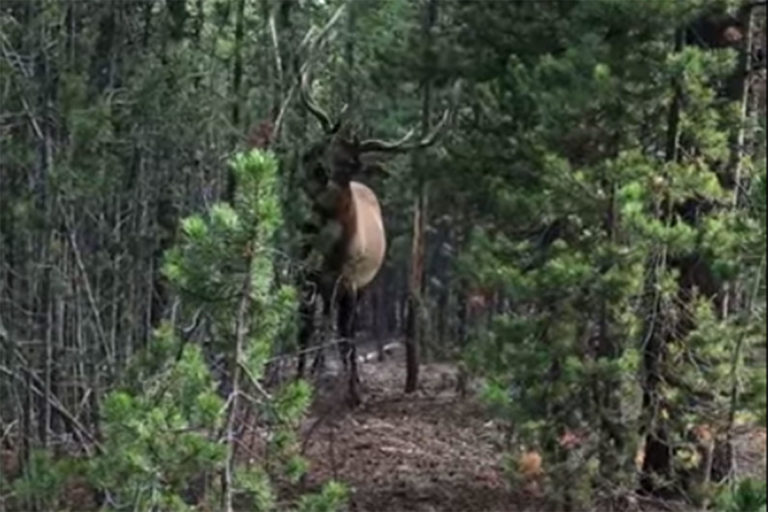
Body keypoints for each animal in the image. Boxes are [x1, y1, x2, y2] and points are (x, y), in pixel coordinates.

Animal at [292, 24, 458, 407]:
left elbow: (348, 338)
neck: (333, 250)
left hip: (361, 287)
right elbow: (304, 331)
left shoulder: (352, 283)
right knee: (324, 324)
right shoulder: (306, 275)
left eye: (351, 163)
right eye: (326, 143)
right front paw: (295, 381)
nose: (316, 171)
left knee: (343, 330)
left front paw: (355, 391)